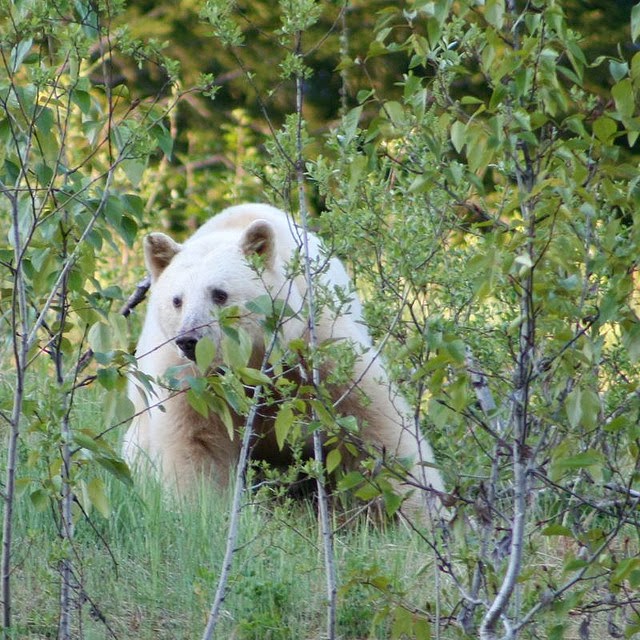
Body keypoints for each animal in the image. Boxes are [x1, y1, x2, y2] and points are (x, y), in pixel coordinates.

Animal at [122, 203, 445, 518]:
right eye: (177, 300)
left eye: (219, 294)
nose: (189, 340)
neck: (252, 363)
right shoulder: (190, 383)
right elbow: (196, 446)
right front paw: (198, 511)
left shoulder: (318, 349)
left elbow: (373, 427)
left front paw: (422, 512)